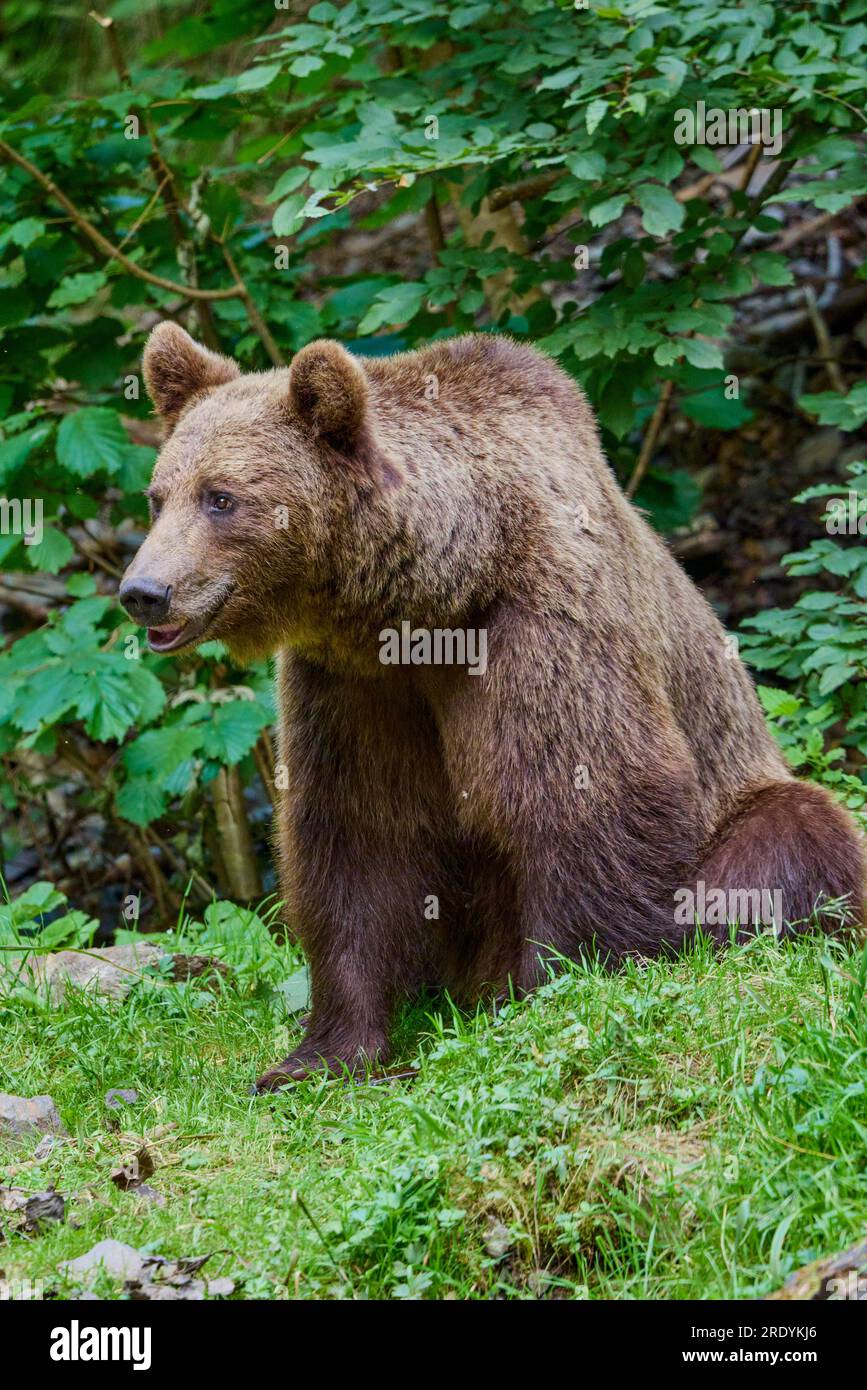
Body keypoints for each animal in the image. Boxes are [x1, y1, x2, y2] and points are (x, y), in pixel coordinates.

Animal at [120, 322, 866, 1090]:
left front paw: (553, 989)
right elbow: (356, 838)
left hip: (746, 794)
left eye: (221, 497)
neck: (434, 601)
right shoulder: (352, 687)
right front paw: (321, 1053)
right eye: (157, 496)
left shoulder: (541, 620)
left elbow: (585, 791)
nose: (144, 591)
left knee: (790, 837)